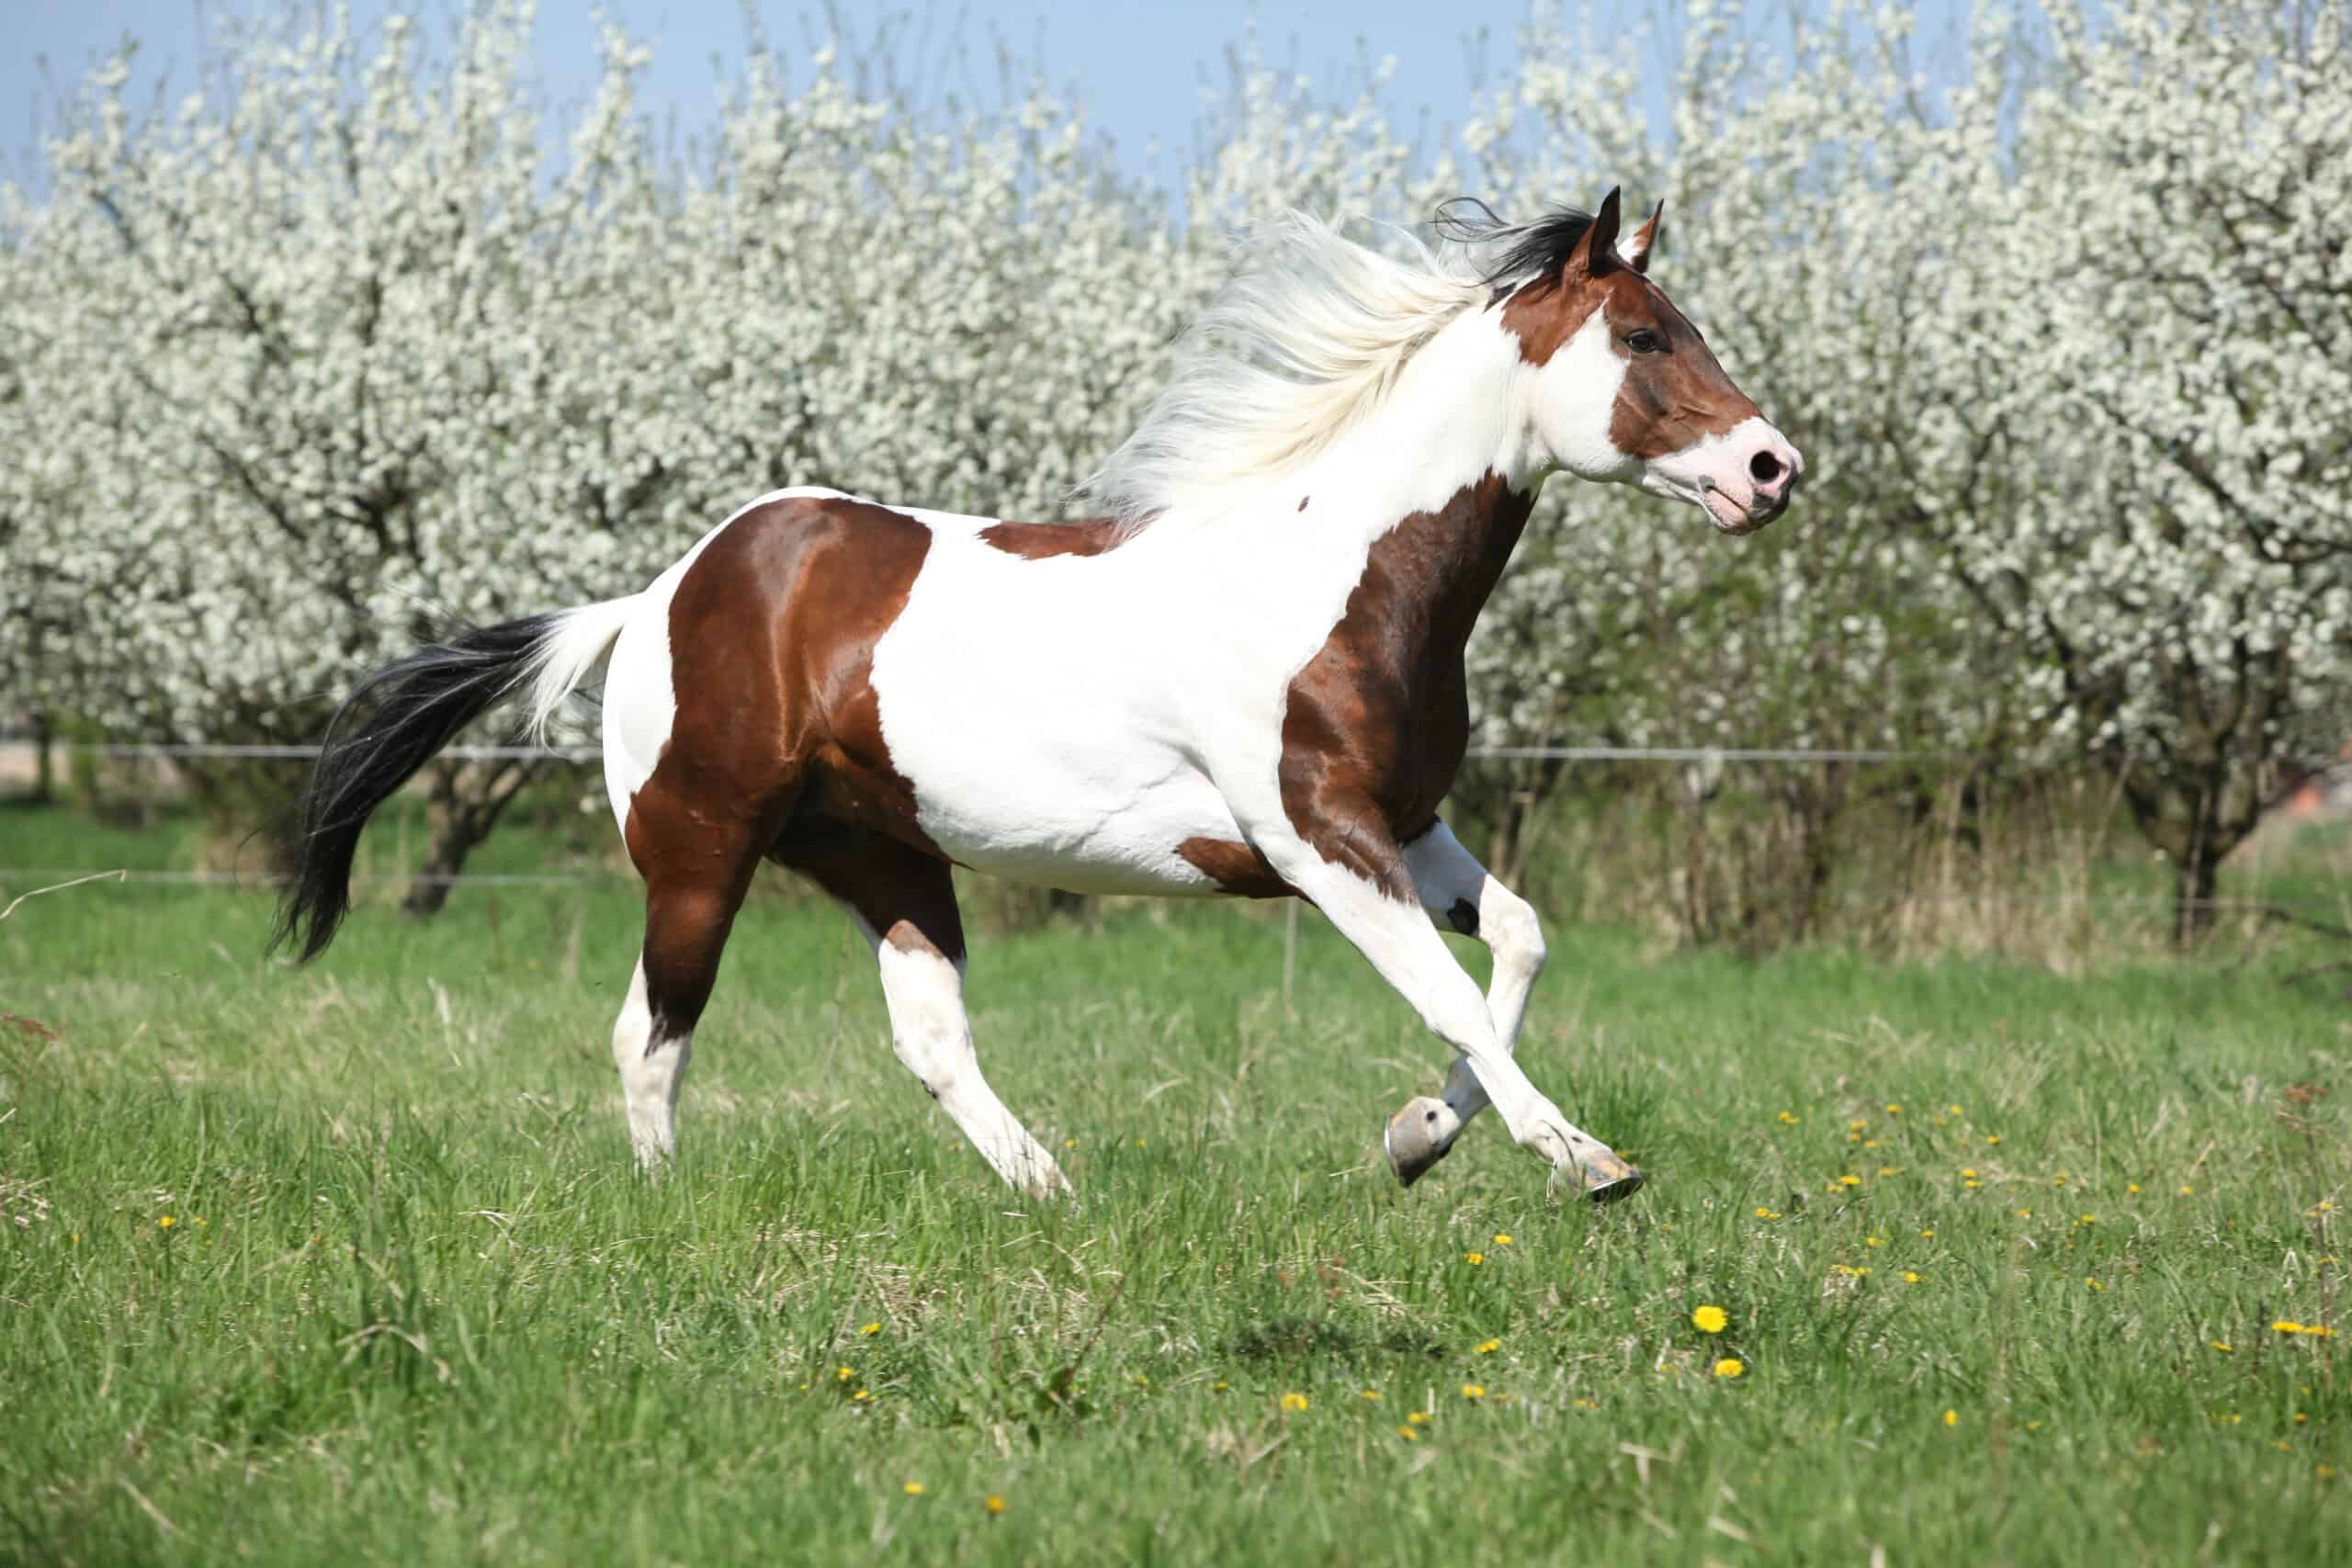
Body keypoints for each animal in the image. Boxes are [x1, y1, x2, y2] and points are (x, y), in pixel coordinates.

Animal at [273, 188, 1802, 1203]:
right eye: (1648, 336)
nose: (1774, 468)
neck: (1328, 571)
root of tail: (652, 599)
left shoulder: (1407, 825)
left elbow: (1520, 947)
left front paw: (1417, 1138)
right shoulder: (1319, 839)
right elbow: (1453, 997)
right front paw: (1587, 1161)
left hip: (883, 853)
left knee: (929, 1039)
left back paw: (1051, 1189)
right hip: (702, 849)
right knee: (652, 1033)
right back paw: (672, 1207)